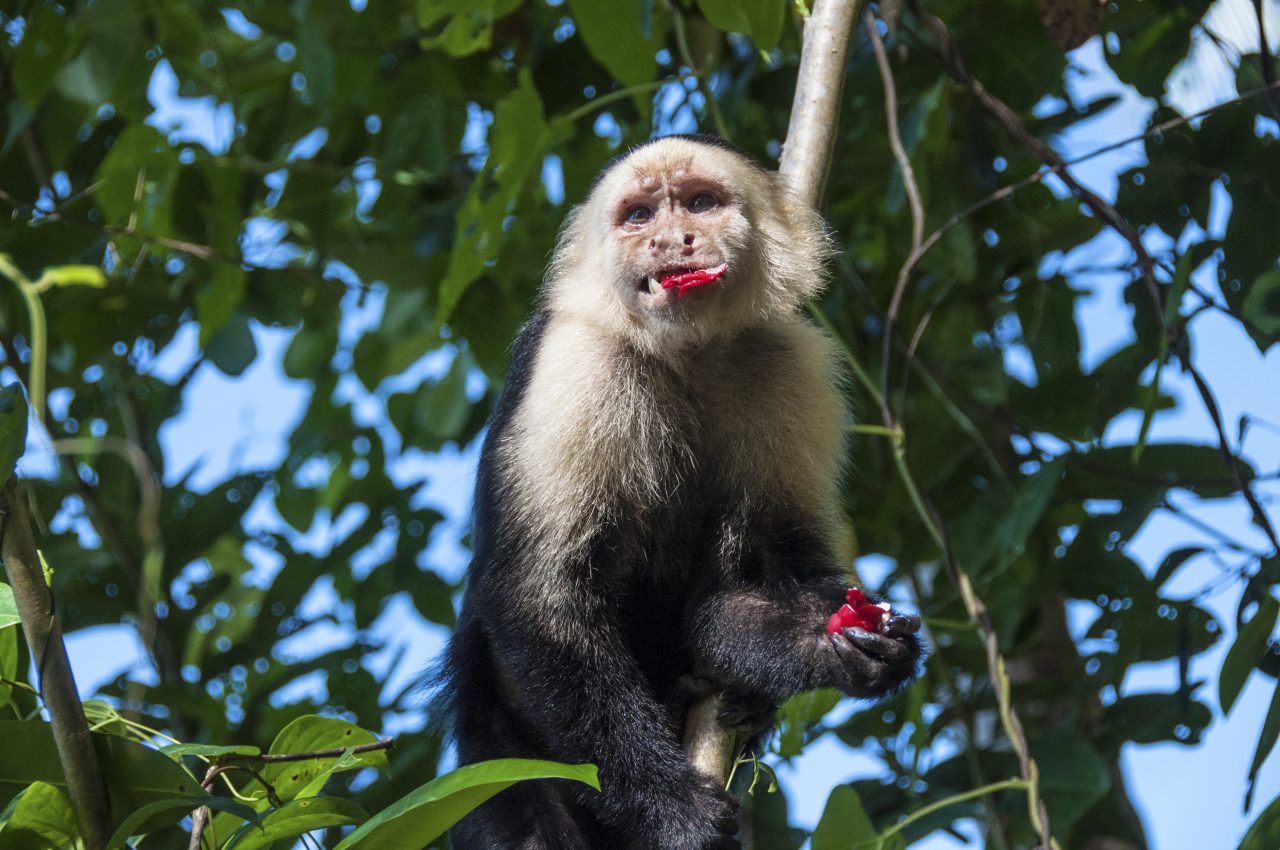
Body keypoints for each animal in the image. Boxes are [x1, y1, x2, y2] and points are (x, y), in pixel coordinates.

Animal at [440, 135, 922, 850]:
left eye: (700, 202)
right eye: (639, 216)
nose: (673, 240)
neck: (685, 353)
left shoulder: (788, 361)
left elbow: (765, 568)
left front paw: (832, 642)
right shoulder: (576, 364)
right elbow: (539, 597)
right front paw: (670, 808)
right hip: (493, 753)